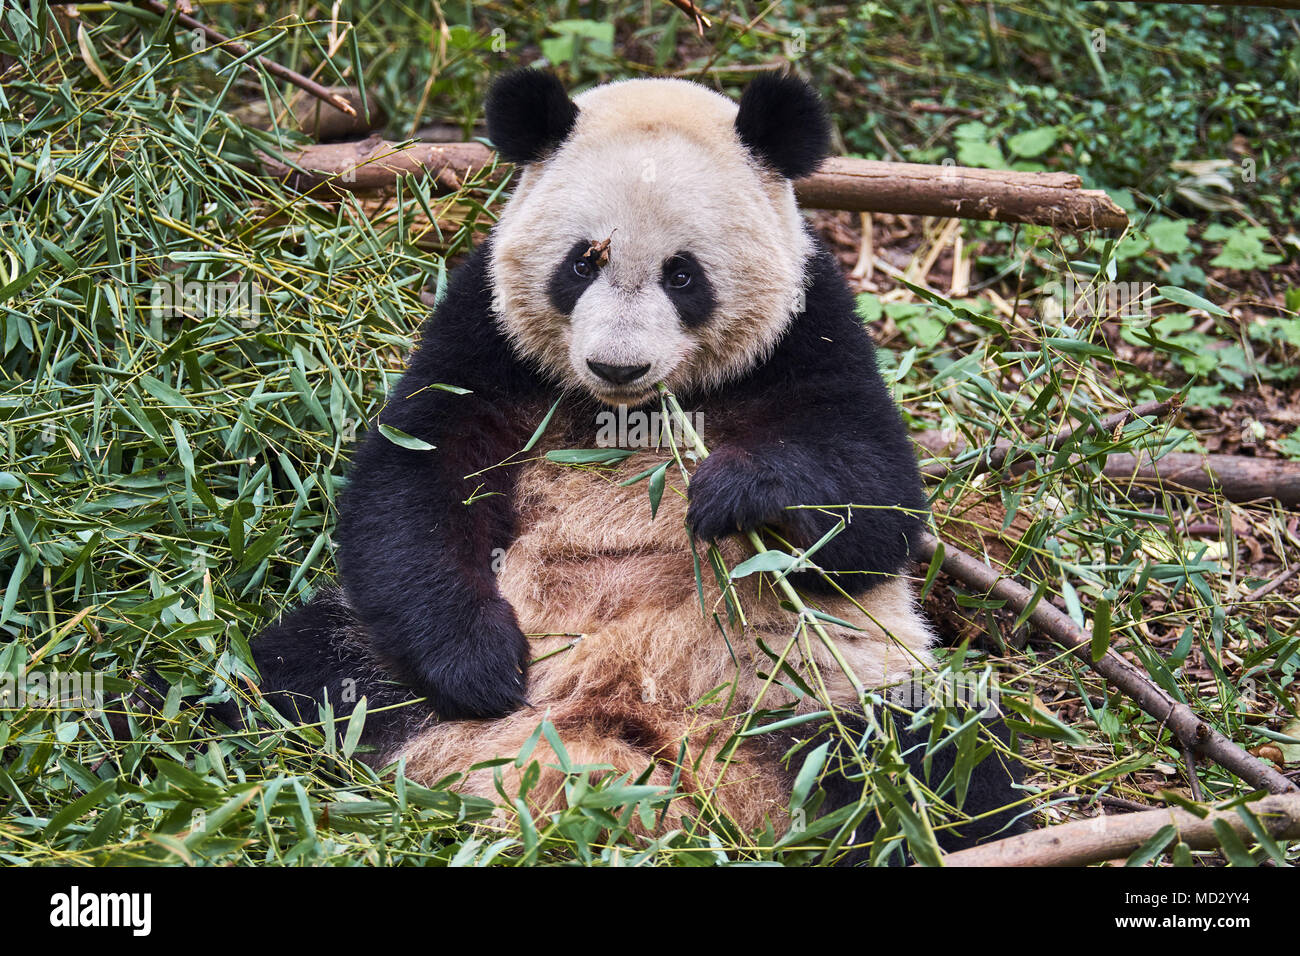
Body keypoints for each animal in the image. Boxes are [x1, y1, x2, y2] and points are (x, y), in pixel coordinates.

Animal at [226, 69, 1028, 860]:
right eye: (583, 262)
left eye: (683, 275)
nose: (618, 365)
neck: (628, 413)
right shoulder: (484, 332)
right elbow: (416, 482)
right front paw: (480, 665)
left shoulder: (809, 327)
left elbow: (875, 503)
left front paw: (736, 490)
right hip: (377, 668)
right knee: (285, 674)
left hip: (825, 689)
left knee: (938, 766)